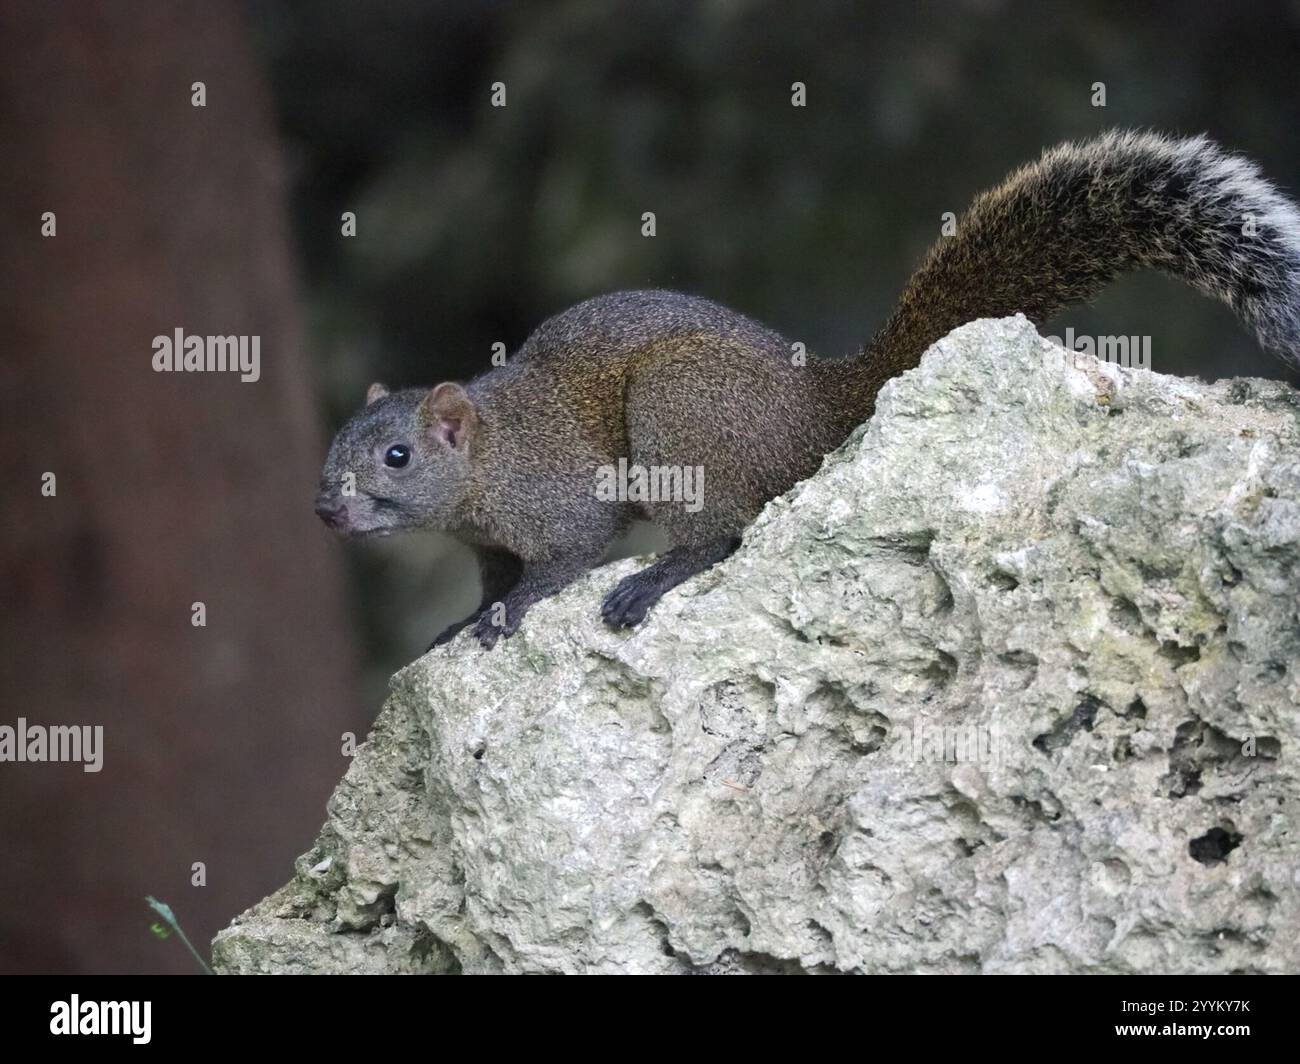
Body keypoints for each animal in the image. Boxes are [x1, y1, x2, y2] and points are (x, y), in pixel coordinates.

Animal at [315, 131, 1300, 650]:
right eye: (329, 452)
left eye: (397, 455)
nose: (327, 510)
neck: (489, 459)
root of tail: (826, 403)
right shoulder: (485, 542)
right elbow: (489, 580)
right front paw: (459, 623)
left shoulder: (558, 500)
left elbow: (565, 559)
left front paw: (511, 612)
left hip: (679, 409)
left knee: (725, 530)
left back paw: (659, 577)